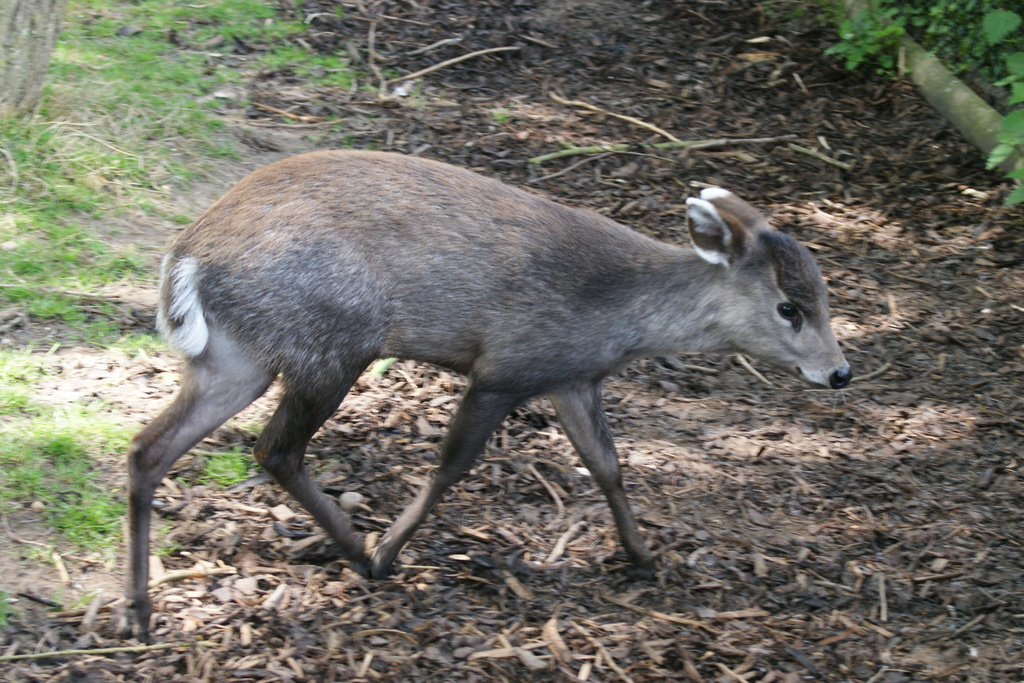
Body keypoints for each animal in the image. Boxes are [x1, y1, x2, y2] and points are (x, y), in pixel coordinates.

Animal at [124, 150, 851, 639]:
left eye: (823, 290)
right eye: (789, 307)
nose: (839, 372)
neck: (619, 316)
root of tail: (186, 258)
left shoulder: (571, 377)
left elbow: (608, 466)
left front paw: (644, 557)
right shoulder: (505, 367)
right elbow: (452, 465)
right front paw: (389, 550)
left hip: (237, 357)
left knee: (148, 447)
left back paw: (138, 610)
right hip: (332, 343)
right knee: (275, 448)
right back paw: (357, 550)